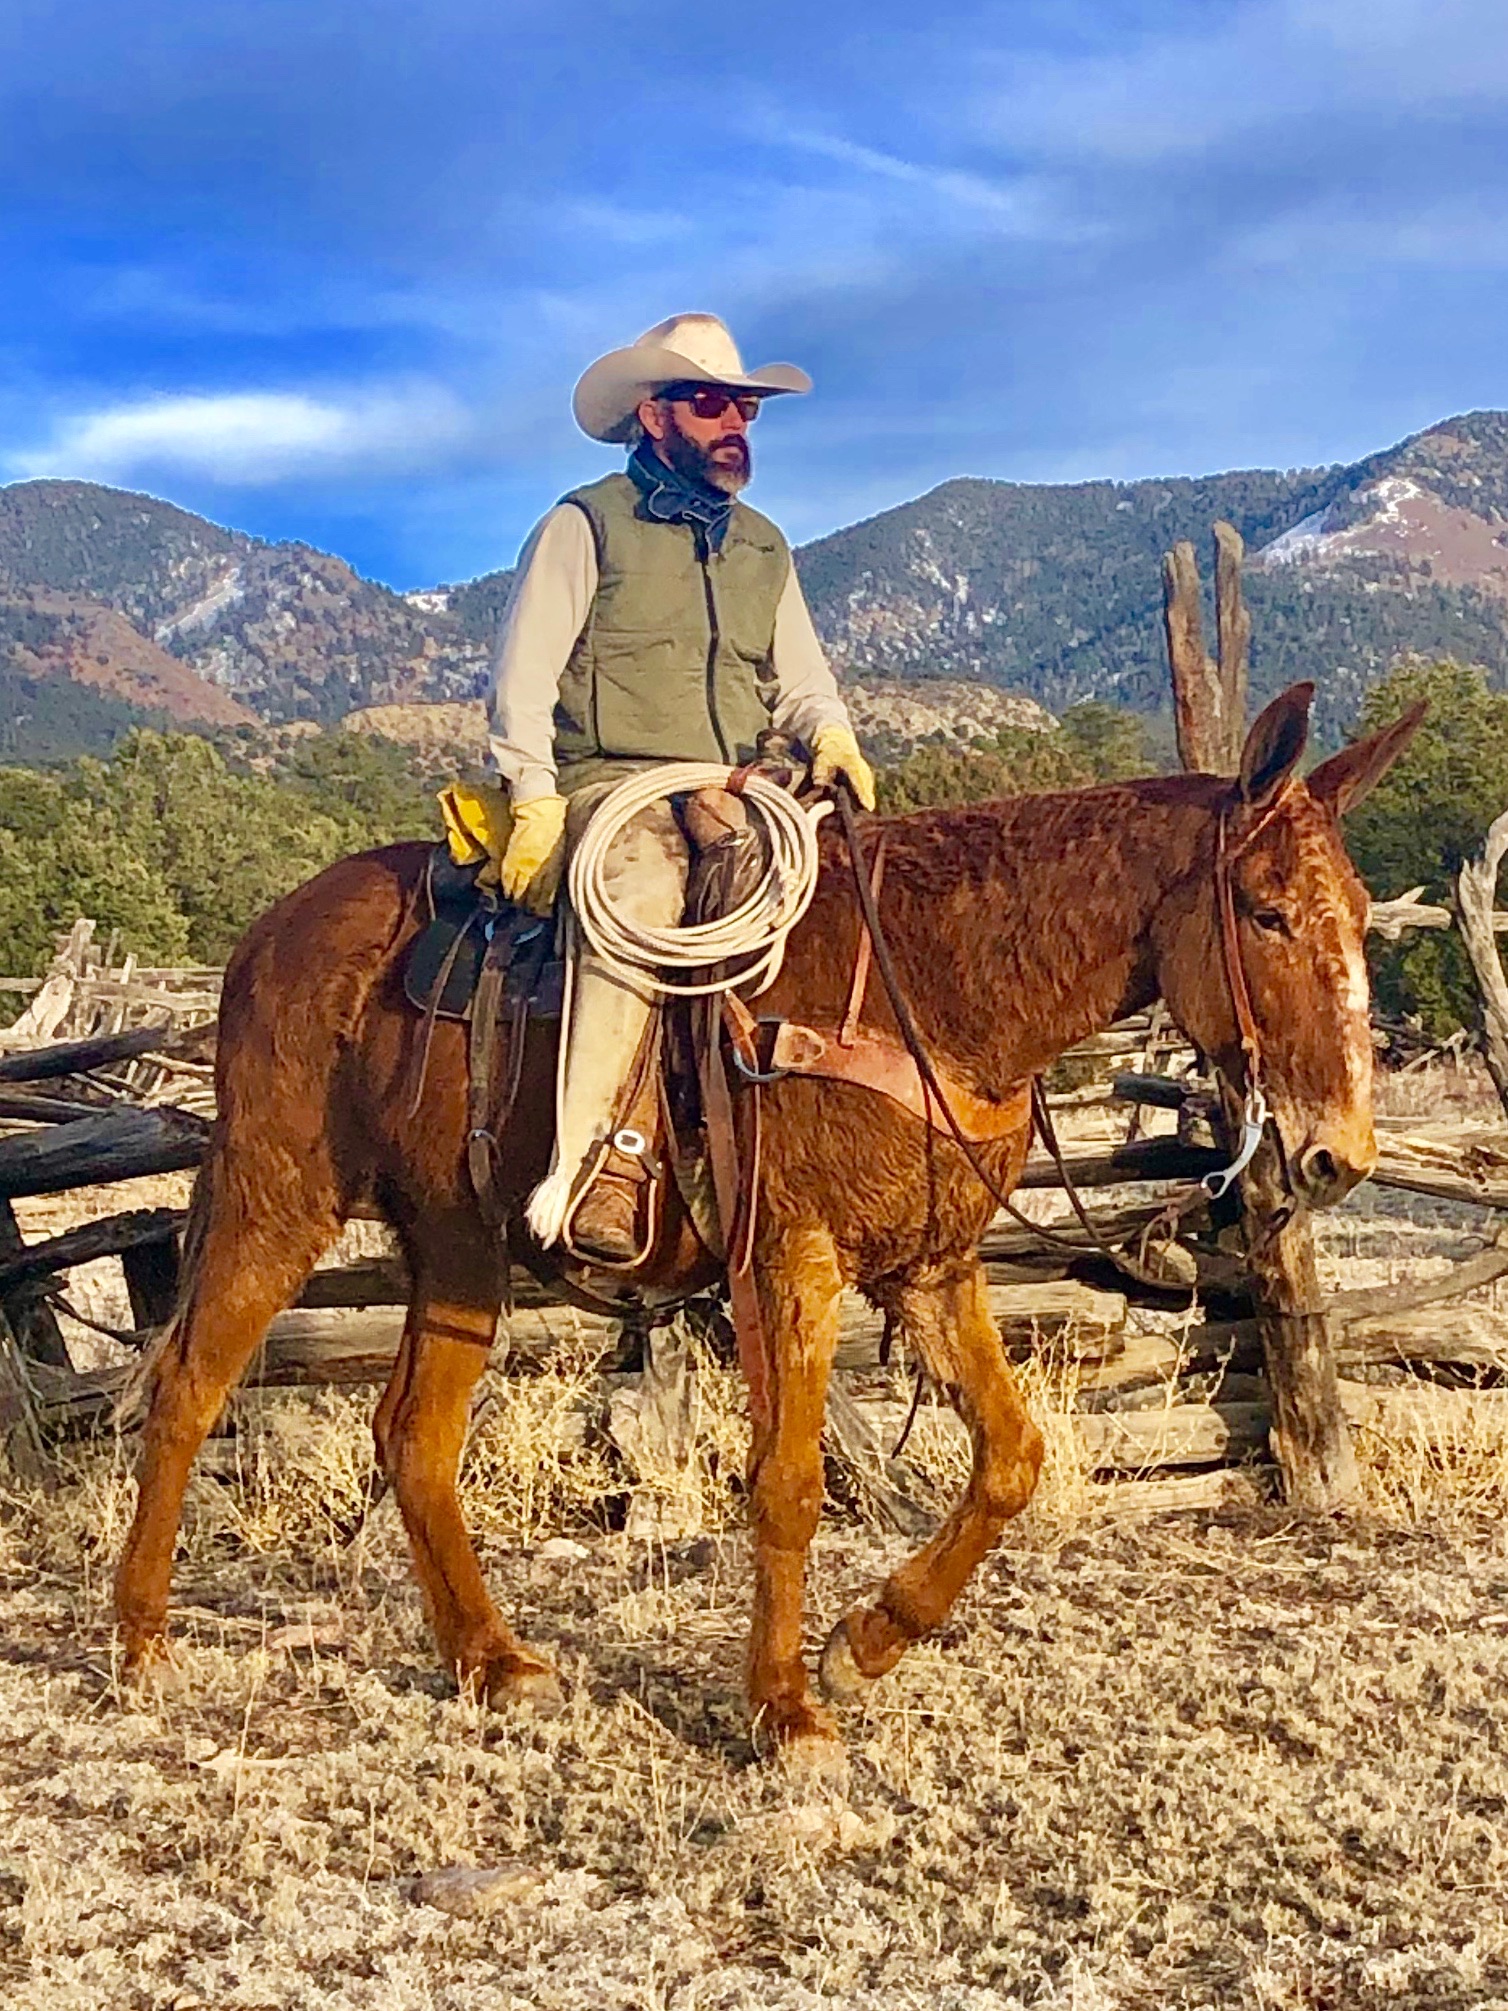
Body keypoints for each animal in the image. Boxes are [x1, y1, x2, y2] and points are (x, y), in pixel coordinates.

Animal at [114, 682, 1421, 1772]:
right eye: (1263, 911)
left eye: (1360, 912)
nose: (1339, 1155)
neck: (931, 986)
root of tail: (273, 931)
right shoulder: (788, 1259)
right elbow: (787, 1480)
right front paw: (785, 1710)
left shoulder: (930, 1270)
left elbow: (1010, 1456)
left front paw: (866, 1642)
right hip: (278, 1198)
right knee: (186, 1387)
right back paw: (139, 1644)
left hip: (457, 1241)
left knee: (412, 1436)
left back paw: (491, 1661)